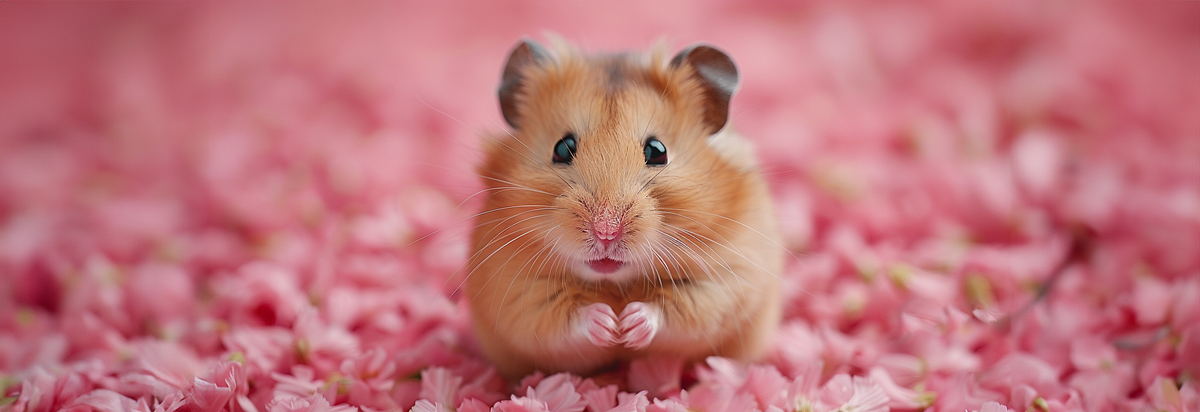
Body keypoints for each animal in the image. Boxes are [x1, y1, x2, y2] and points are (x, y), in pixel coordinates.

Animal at [466, 38, 782, 379]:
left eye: (657, 151)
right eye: (562, 148)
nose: (606, 232)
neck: (614, 283)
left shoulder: (728, 279)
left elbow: (680, 309)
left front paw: (629, 324)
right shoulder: (512, 288)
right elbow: (557, 316)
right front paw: (609, 325)